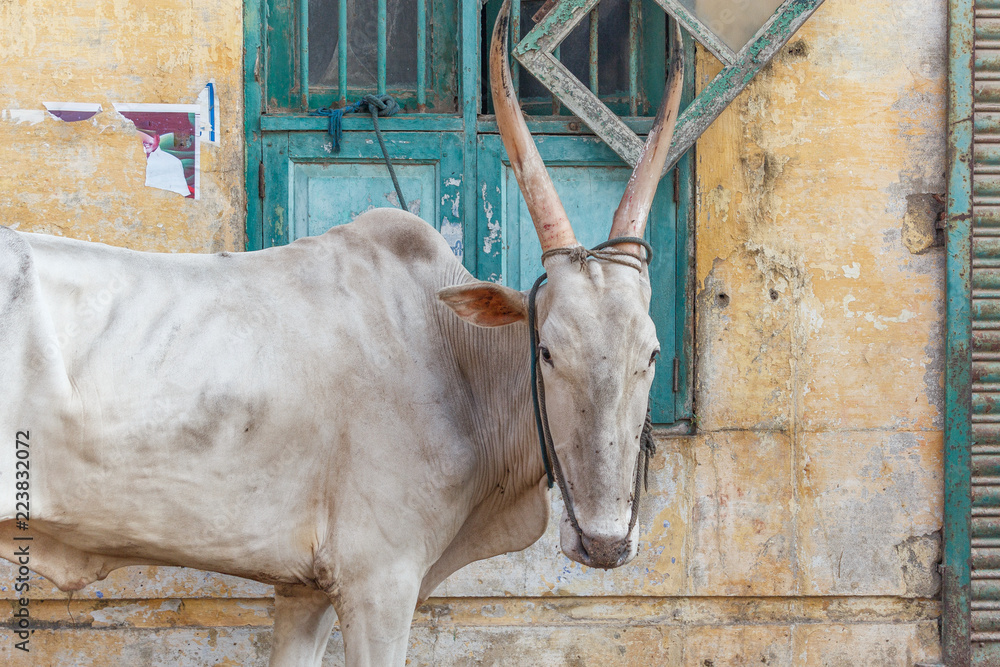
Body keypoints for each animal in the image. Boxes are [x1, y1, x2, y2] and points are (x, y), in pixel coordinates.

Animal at [0, 3, 683, 665]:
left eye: (651, 354)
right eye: (546, 351)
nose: (604, 542)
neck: (458, 365)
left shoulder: (304, 589)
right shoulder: (379, 581)